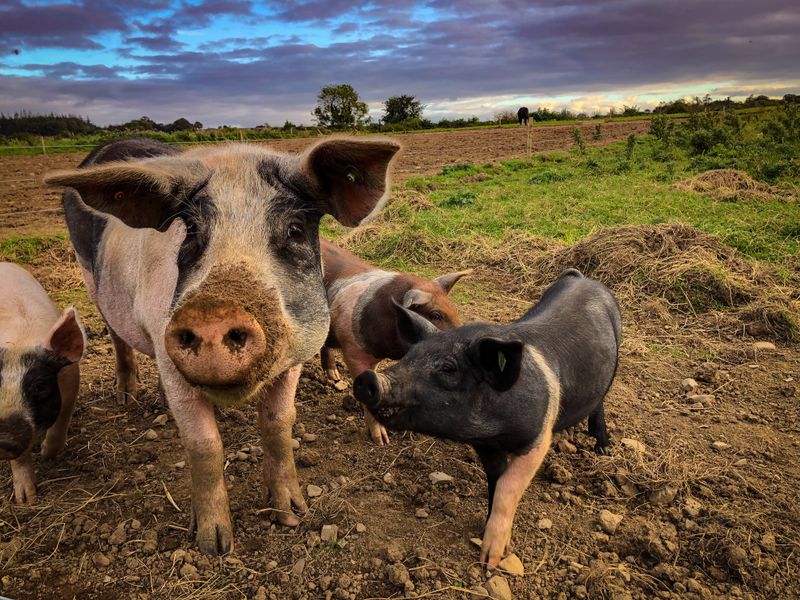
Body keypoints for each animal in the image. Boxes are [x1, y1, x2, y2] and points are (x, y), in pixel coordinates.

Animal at [0, 262, 85, 504]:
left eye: (39, 387)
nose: (4, 440)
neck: (20, 340)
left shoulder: (71, 381)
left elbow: (61, 422)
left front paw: (48, 455)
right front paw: (26, 500)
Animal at [44, 136, 400, 555]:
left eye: (295, 229)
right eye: (191, 232)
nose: (212, 316)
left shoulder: (295, 352)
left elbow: (279, 424)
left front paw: (291, 515)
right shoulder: (167, 353)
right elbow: (204, 444)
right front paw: (214, 544)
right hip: (92, 282)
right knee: (116, 334)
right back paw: (128, 395)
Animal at [353, 268, 621, 567]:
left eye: (448, 368)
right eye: (408, 356)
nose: (368, 378)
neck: (494, 430)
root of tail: (583, 278)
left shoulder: (538, 438)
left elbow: (508, 487)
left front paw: (489, 561)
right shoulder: (486, 446)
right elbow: (494, 481)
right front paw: (483, 535)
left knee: (600, 403)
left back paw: (602, 447)